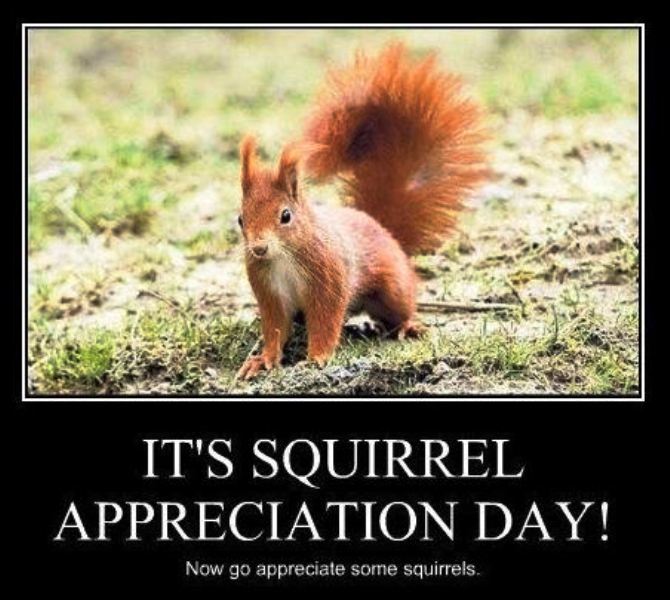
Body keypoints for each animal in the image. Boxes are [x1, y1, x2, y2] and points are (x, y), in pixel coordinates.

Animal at [236, 43, 488, 380]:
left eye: (285, 216)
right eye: (240, 219)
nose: (259, 248)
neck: (284, 256)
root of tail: (380, 226)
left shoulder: (328, 279)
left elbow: (326, 321)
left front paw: (317, 358)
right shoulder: (269, 291)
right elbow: (275, 328)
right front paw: (263, 359)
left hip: (392, 286)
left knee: (399, 306)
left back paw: (408, 325)